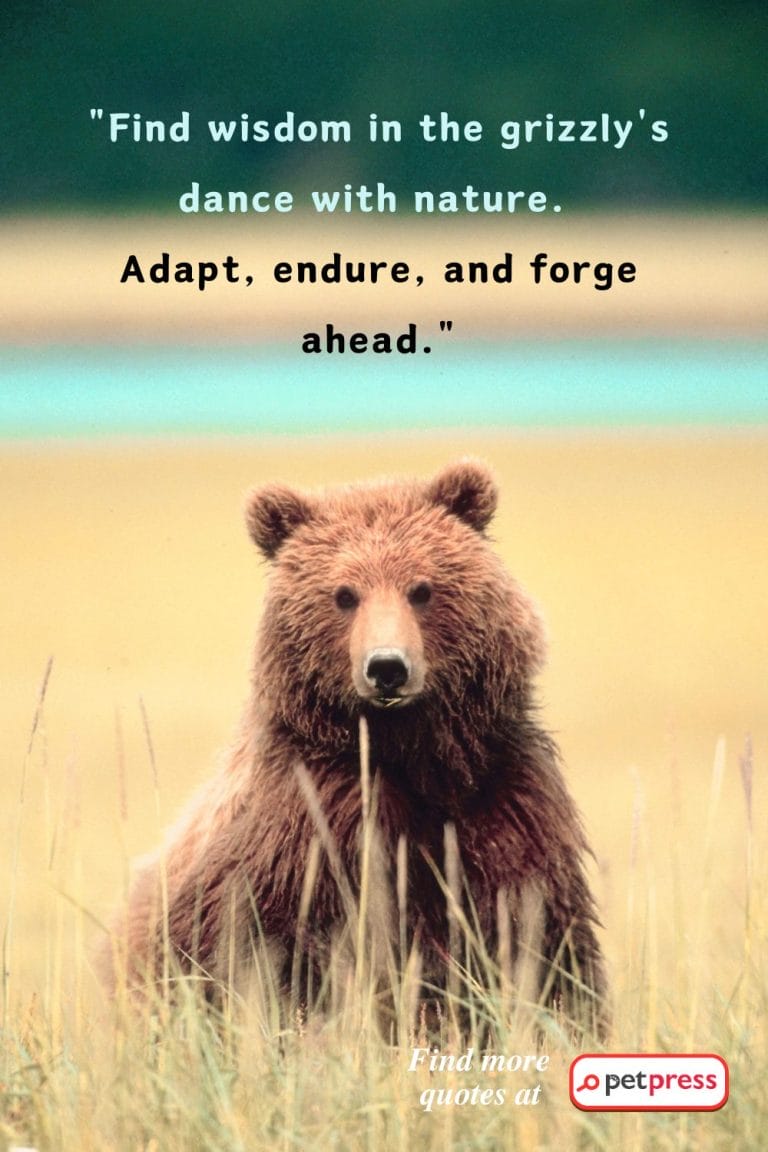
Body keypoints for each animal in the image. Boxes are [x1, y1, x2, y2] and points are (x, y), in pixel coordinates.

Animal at [102, 459, 607, 1035]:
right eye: (344, 594)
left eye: (421, 588)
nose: (387, 667)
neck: (417, 753)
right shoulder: (314, 822)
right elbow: (277, 957)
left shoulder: (505, 805)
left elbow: (541, 938)